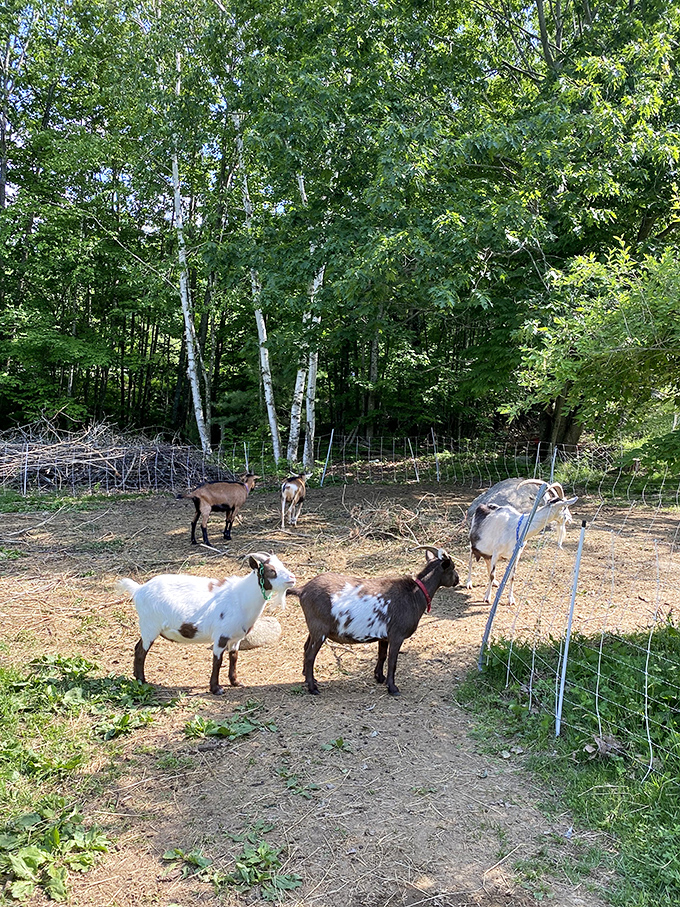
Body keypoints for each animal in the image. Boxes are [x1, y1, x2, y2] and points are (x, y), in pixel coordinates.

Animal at [117, 552, 295, 693]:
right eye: (271, 571)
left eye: (282, 565)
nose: (292, 578)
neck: (240, 597)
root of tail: (139, 589)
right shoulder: (221, 636)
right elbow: (217, 661)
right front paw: (216, 688)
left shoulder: (236, 638)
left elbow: (234, 657)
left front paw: (235, 682)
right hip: (150, 626)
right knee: (141, 651)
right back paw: (142, 680)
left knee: (137, 648)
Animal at [287, 547, 459, 696]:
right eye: (452, 567)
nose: (457, 579)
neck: (415, 595)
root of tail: (303, 590)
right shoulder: (397, 635)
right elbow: (392, 661)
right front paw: (393, 688)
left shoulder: (384, 636)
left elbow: (382, 655)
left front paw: (379, 678)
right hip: (319, 630)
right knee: (310, 655)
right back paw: (313, 688)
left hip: (314, 629)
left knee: (305, 648)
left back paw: (309, 679)